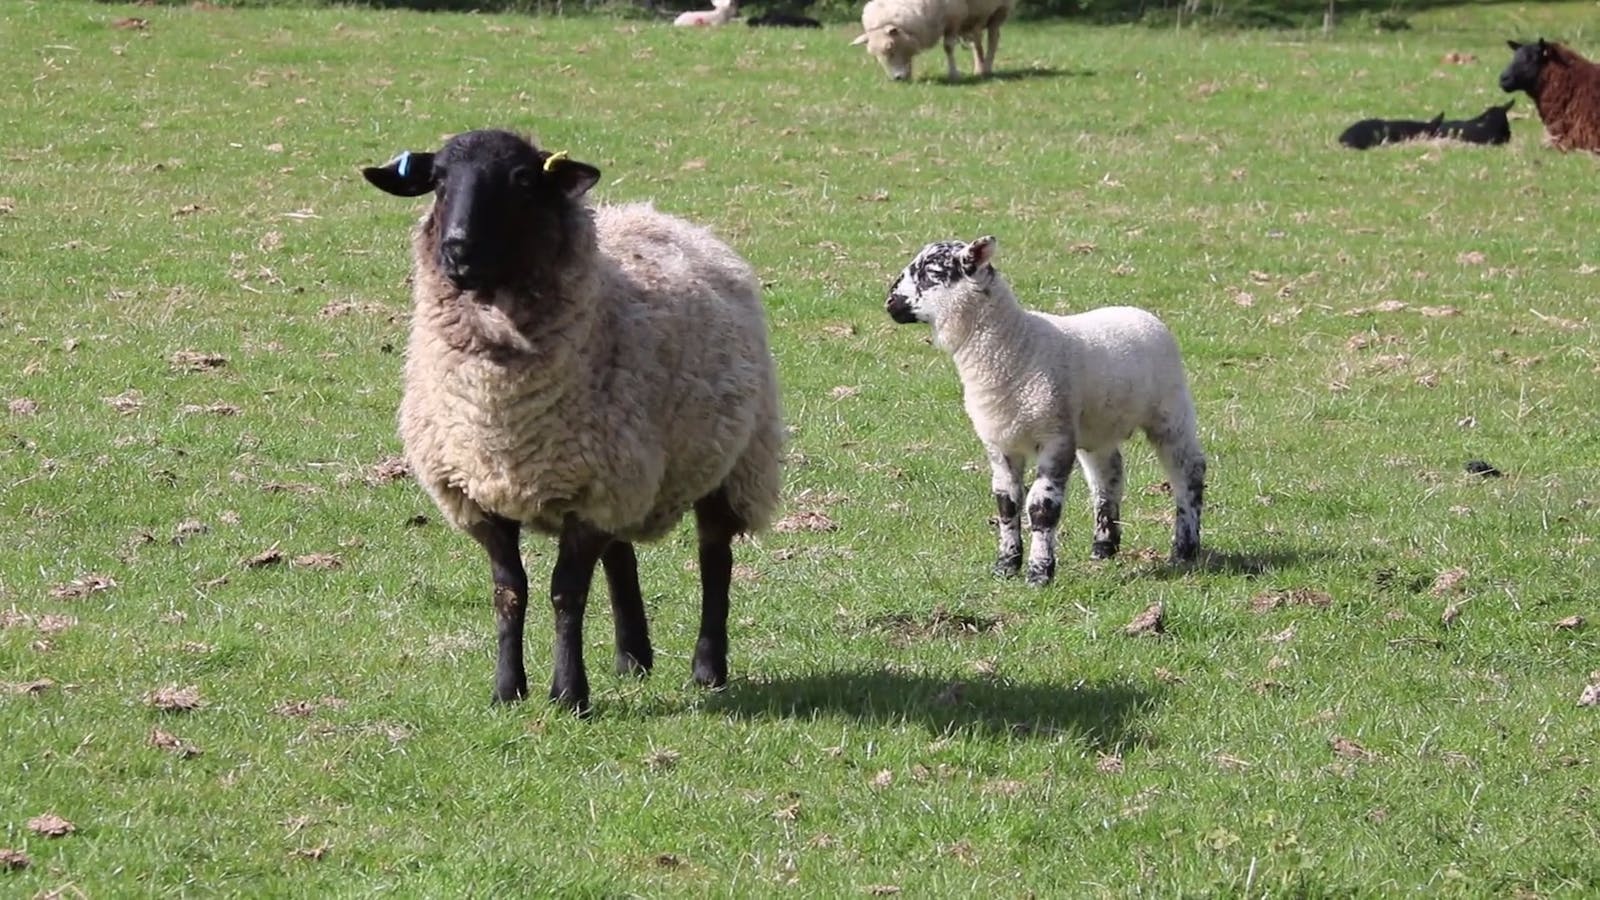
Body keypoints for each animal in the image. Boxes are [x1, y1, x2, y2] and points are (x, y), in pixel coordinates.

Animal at [363, 129, 784, 714]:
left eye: (521, 179)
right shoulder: (479, 491)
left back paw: (707, 668)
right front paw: (507, 691)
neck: (498, 406)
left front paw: (568, 695)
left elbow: (566, 591)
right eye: (438, 180)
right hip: (625, 471)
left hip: (733, 459)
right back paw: (632, 657)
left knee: (714, 559)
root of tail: (656, 215)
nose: (457, 249)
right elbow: (509, 590)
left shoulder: (592, 492)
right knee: (621, 555)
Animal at [851, 0, 1014, 82]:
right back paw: (979, 69)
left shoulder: (954, 18)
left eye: (890, 47)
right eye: (874, 56)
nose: (897, 78)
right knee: (977, 42)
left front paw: (953, 74)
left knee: (993, 38)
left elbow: (948, 47)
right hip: (973, 18)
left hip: (999, 10)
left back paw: (987, 68)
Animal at [882, 236, 1205, 586]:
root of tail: (1140, 313)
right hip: (1096, 427)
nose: (890, 302)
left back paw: (1185, 549)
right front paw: (1006, 566)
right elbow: (1006, 503)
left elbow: (1042, 507)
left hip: (1171, 412)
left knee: (1189, 473)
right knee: (1108, 476)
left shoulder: (1055, 438)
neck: (1014, 345)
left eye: (933, 272)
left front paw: (1039, 573)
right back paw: (1103, 546)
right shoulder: (1000, 442)